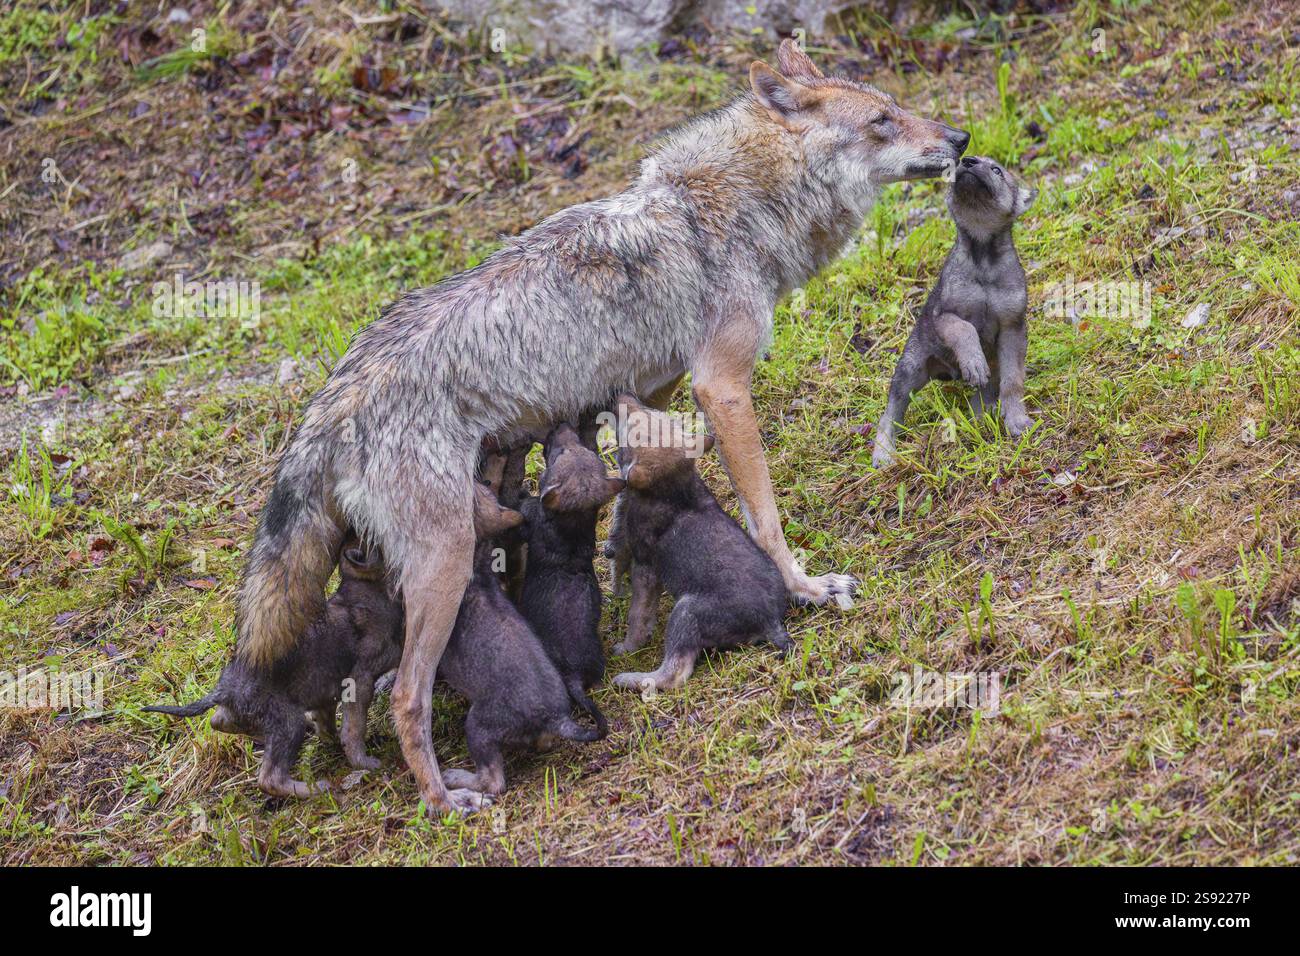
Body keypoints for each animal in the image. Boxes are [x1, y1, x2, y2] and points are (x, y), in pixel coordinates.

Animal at [144, 538, 403, 797]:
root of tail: (224, 690)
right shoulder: (361, 678)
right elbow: (354, 729)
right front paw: (366, 762)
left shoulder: (324, 693)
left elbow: (329, 723)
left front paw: (332, 738)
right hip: (288, 722)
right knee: (270, 778)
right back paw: (316, 789)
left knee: (219, 721)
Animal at [609, 395, 792, 692]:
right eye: (657, 413)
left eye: (632, 429)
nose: (622, 397)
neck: (675, 490)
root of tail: (771, 622)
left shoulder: (646, 567)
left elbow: (638, 616)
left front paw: (628, 647)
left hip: (685, 612)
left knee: (675, 673)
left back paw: (631, 679)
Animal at [872, 155, 1037, 468]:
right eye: (965, 161)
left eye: (996, 170)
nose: (968, 161)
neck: (983, 261)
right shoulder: (945, 317)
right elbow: (966, 329)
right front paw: (973, 361)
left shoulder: (1013, 328)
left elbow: (1013, 381)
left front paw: (1017, 420)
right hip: (910, 370)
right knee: (890, 413)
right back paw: (883, 452)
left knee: (986, 390)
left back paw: (983, 413)